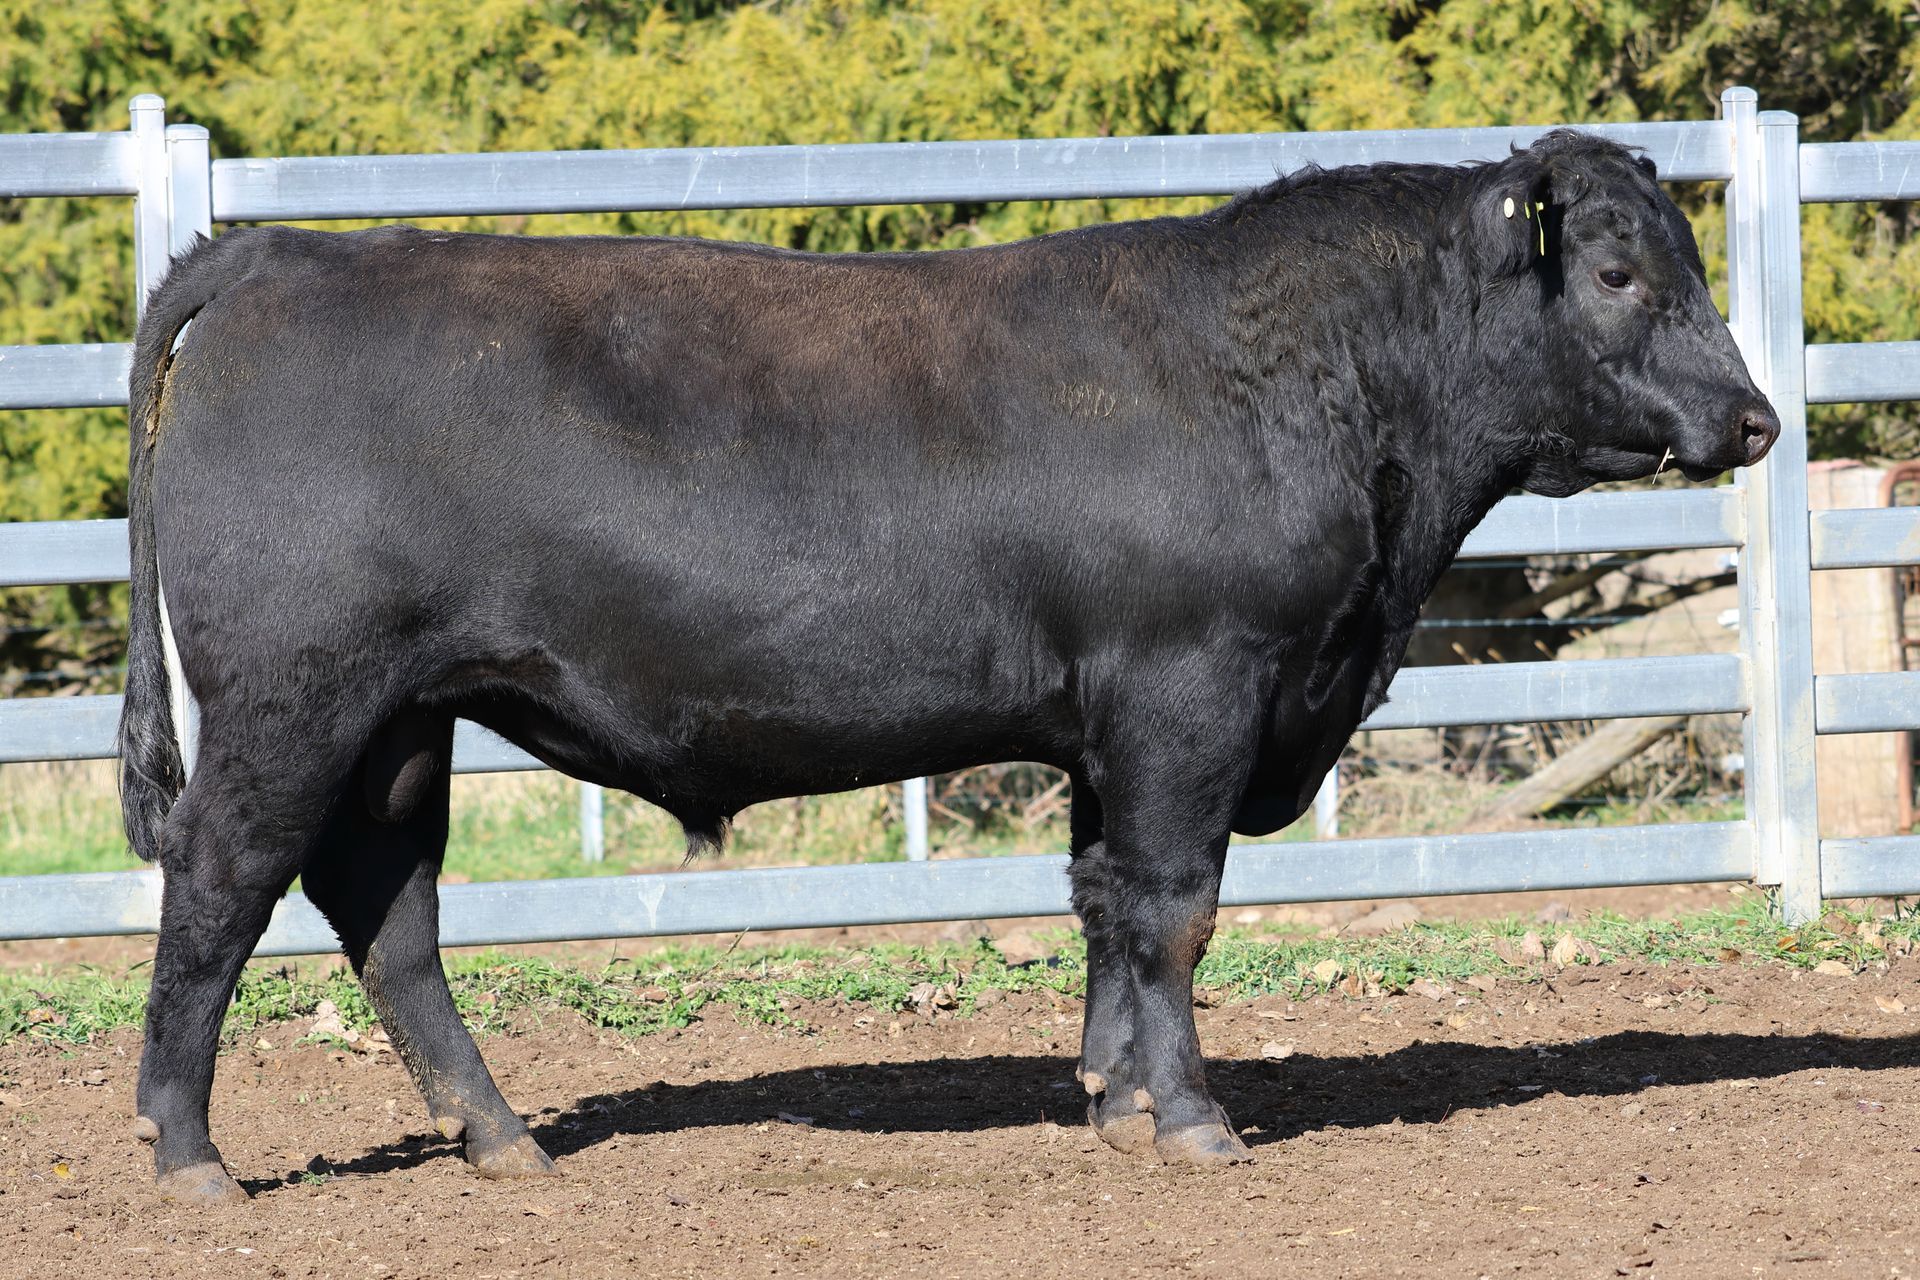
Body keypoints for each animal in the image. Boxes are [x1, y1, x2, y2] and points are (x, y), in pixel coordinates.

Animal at [116, 129, 1778, 1202]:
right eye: (1618, 274)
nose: (1757, 420)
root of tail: (281, 258)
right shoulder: (1192, 691)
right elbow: (1176, 913)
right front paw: (1194, 1125)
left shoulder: (1116, 725)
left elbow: (1106, 908)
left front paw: (1113, 1106)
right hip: (293, 701)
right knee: (220, 885)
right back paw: (191, 1161)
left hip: (406, 721)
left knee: (387, 910)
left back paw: (502, 1141)